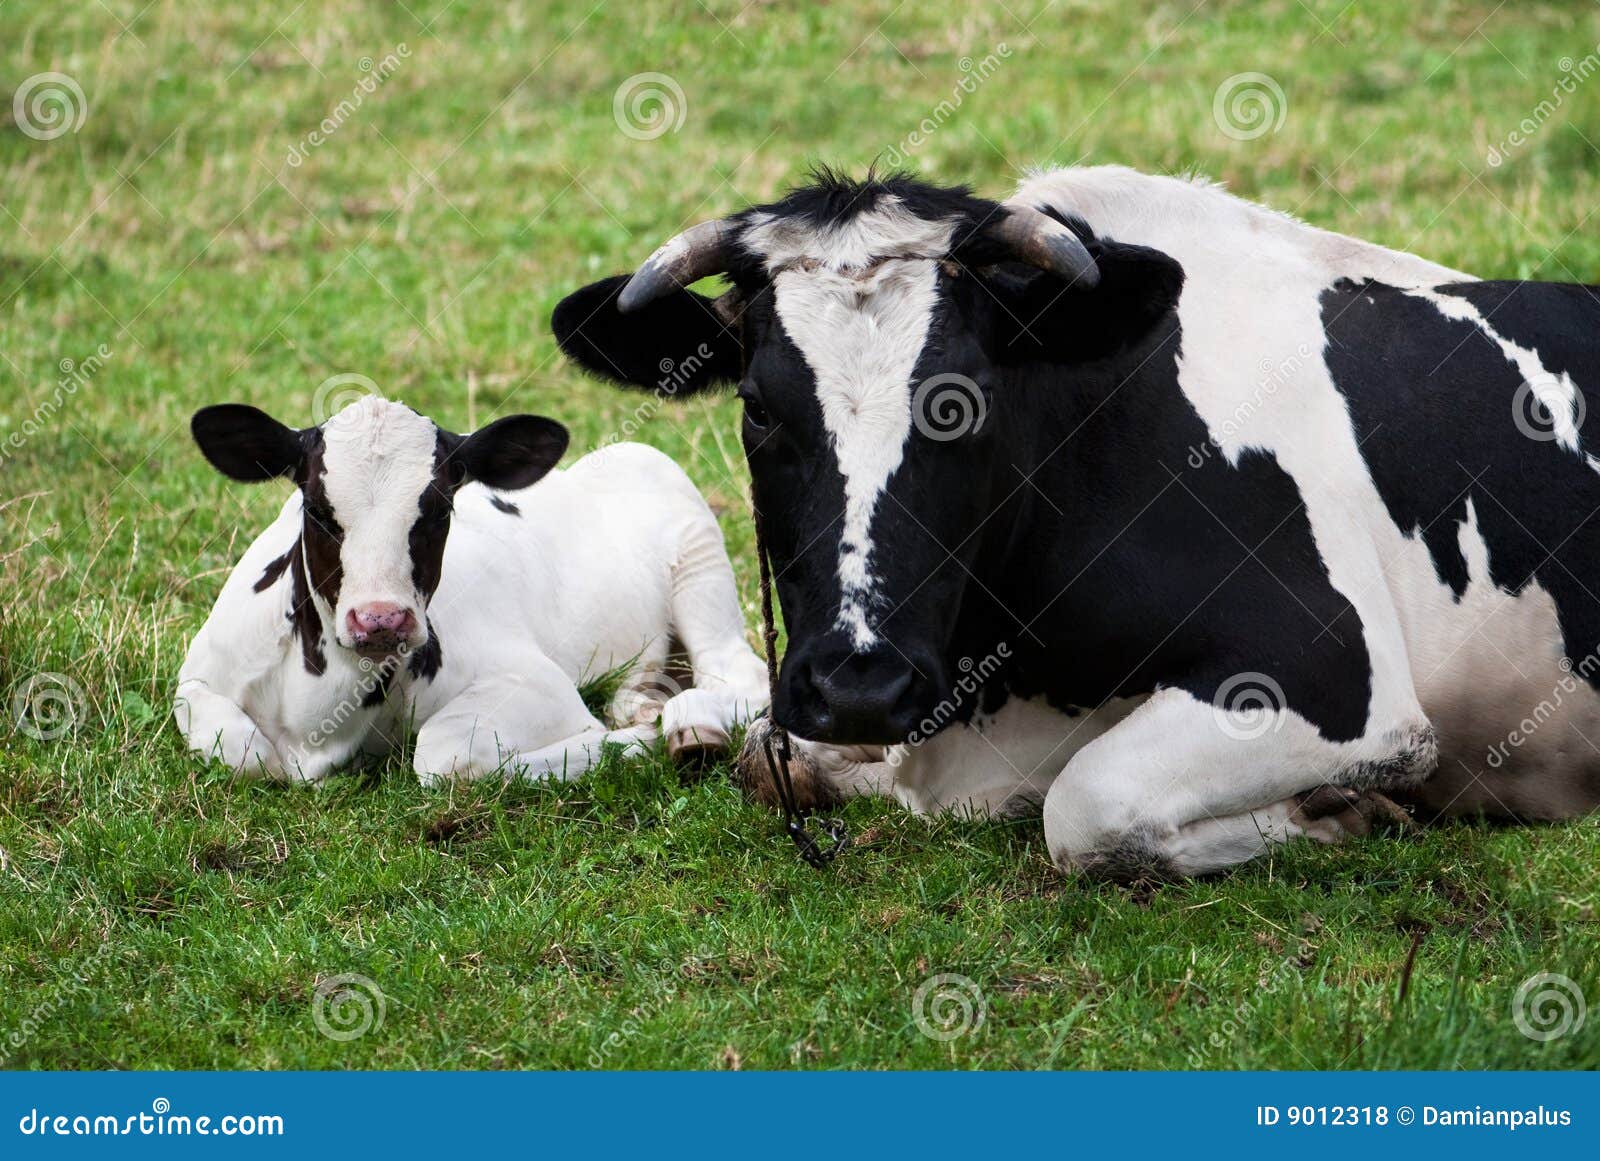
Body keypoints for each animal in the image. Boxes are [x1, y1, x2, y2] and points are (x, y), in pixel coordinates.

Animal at [174, 394, 767, 785]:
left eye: (439, 508)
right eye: (317, 510)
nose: (380, 620)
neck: (316, 722)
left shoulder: (537, 682)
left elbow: (443, 756)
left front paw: (624, 743)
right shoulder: (197, 678)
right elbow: (245, 754)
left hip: (699, 556)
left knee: (741, 675)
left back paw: (687, 723)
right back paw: (641, 702)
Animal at [551, 164, 1600, 880]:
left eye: (961, 403)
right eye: (759, 408)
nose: (860, 683)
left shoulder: (1337, 678)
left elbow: (1087, 806)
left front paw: (1339, 809)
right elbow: (769, 762)